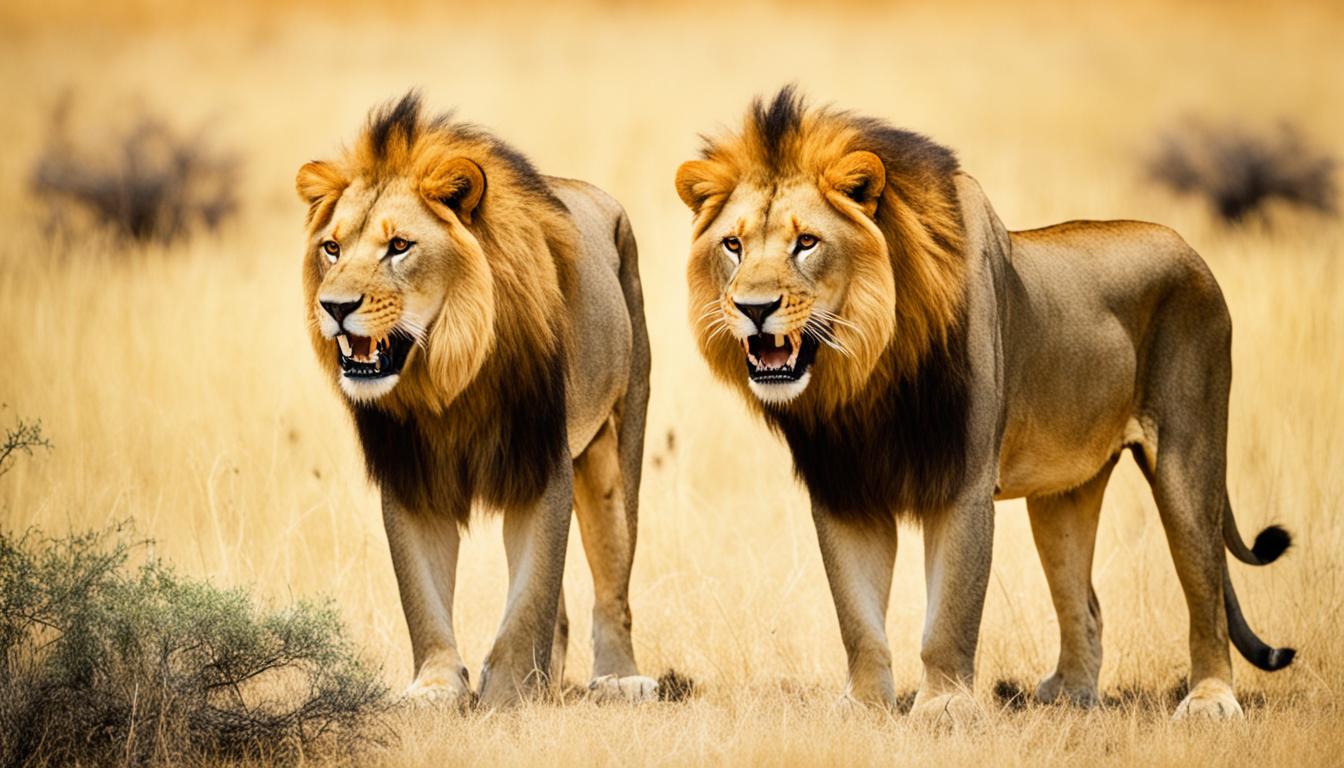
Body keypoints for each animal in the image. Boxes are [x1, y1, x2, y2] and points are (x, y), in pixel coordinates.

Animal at [297, 93, 656, 708]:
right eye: (332, 248)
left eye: (399, 247)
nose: (335, 307)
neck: (448, 376)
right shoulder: (409, 472)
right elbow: (422, 593)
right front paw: (435, 689)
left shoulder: (542, 461)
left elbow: (530, 596)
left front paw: (510, 694)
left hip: (616, 451)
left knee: (612, 586)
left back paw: (619, 679)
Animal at [674, 87, 1295, 720]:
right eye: (733, 245)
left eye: (806, 243)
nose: (753, 308)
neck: (868, 376)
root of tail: (1192, 250)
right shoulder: (845, 489)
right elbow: (858, 618)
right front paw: (865, 706)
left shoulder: (962, 482)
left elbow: (950, 613)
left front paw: (943, 708)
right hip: (1062, 495)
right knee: (1086, 603)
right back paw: (1071, 694)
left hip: (1185, 461)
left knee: (1205, 591)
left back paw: (1210, 700)